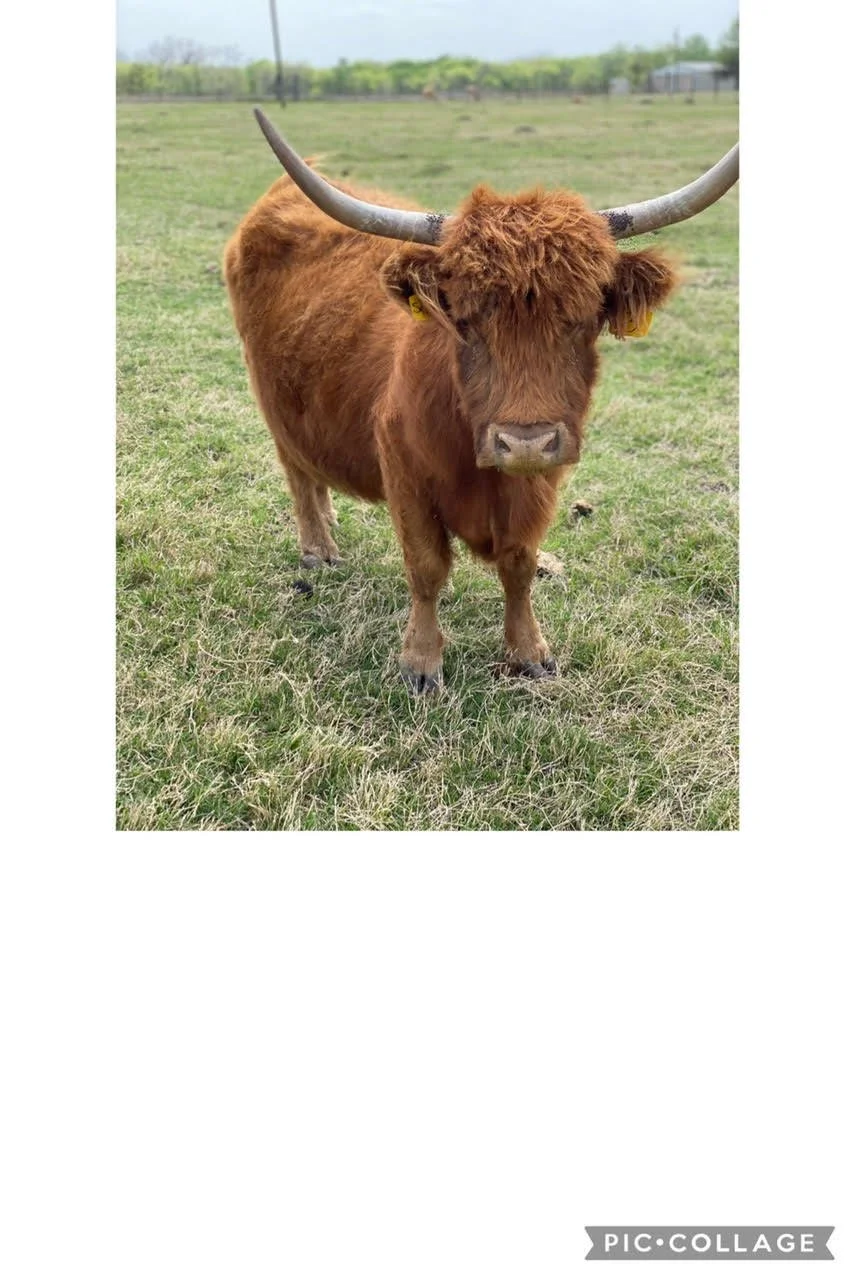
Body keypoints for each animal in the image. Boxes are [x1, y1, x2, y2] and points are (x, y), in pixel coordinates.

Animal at [224, 111, 738, 693]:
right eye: (466, 321)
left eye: (584, 320)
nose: (524, 442)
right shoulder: (403, 473)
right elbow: (426, 568)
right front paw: (421, 662)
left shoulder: (541, 484)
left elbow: (519, 566)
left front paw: (528, 651)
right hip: (272, 399)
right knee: (296, 470)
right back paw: (318, 549)